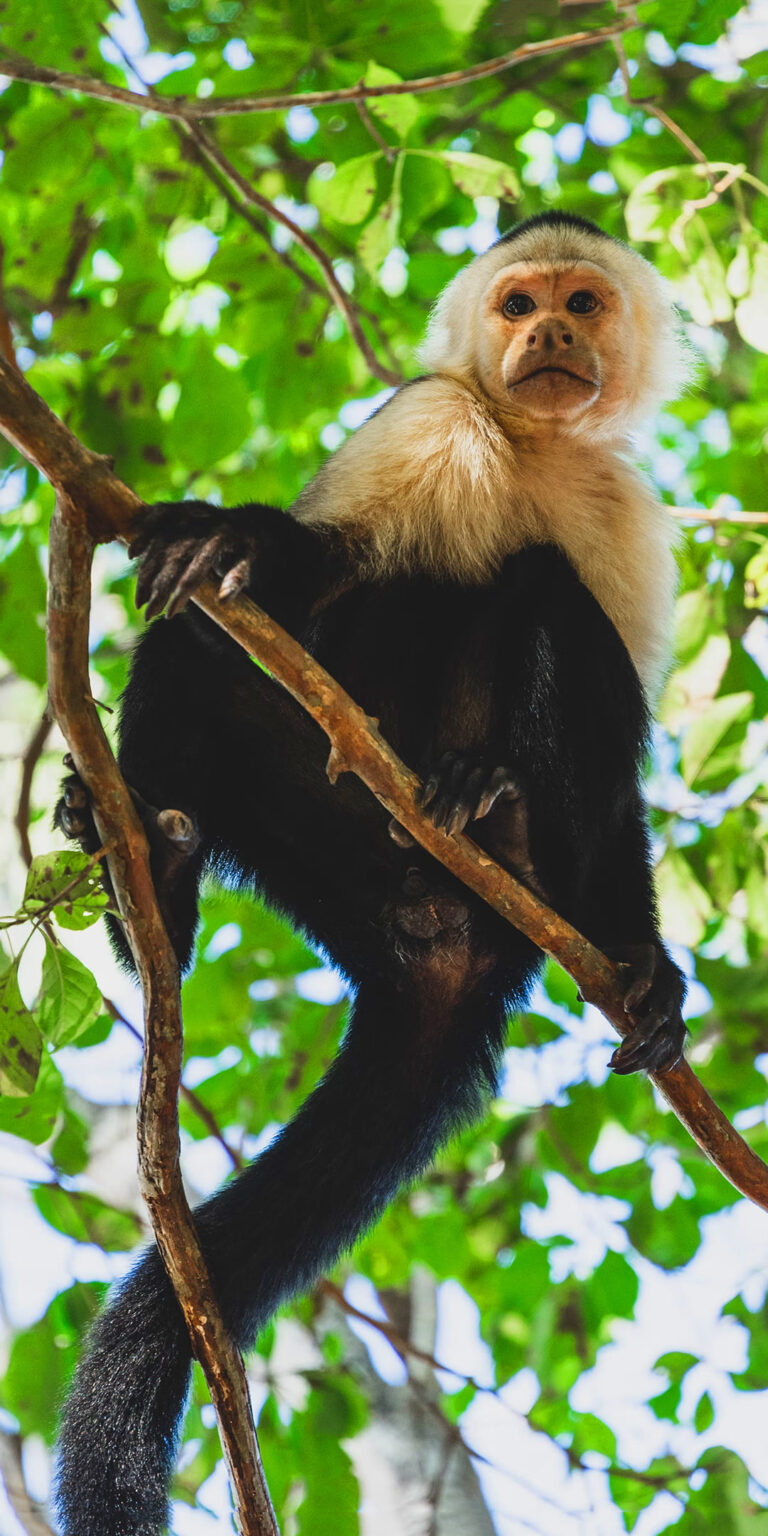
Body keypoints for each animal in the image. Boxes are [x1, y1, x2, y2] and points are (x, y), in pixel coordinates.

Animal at [53, 212, 689, 1536]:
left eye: (583, 305)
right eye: (516, 305)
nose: (548, 339)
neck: (532, 446)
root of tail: (444, 937)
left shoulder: (625, 511)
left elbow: (622, 787)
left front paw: (650, 968)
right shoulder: (429, 418)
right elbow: (316, 570)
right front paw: (233, 538)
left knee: (546, 599)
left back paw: (501, 815)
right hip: (330, 855)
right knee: (209, 648)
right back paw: (156, 888)